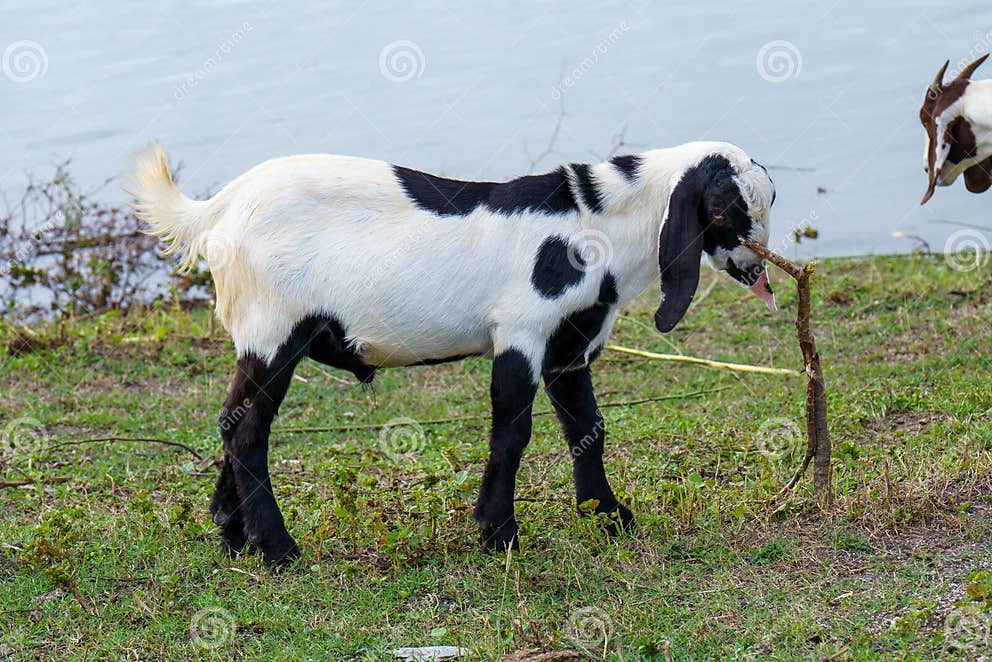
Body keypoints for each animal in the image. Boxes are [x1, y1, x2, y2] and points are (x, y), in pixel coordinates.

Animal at [131, 140, 777, 565]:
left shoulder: (570, 344)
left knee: (236, 421)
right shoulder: (522, 329)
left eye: (767, 202)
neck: (593, 225)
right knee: (247, 428)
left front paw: (609, 516)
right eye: (726, 211)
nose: (756, 271)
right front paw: (498, 534)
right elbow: (511, 432)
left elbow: (588, 427)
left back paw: (234, 534)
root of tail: (216, 209)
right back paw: (277, 548)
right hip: (273, 329)